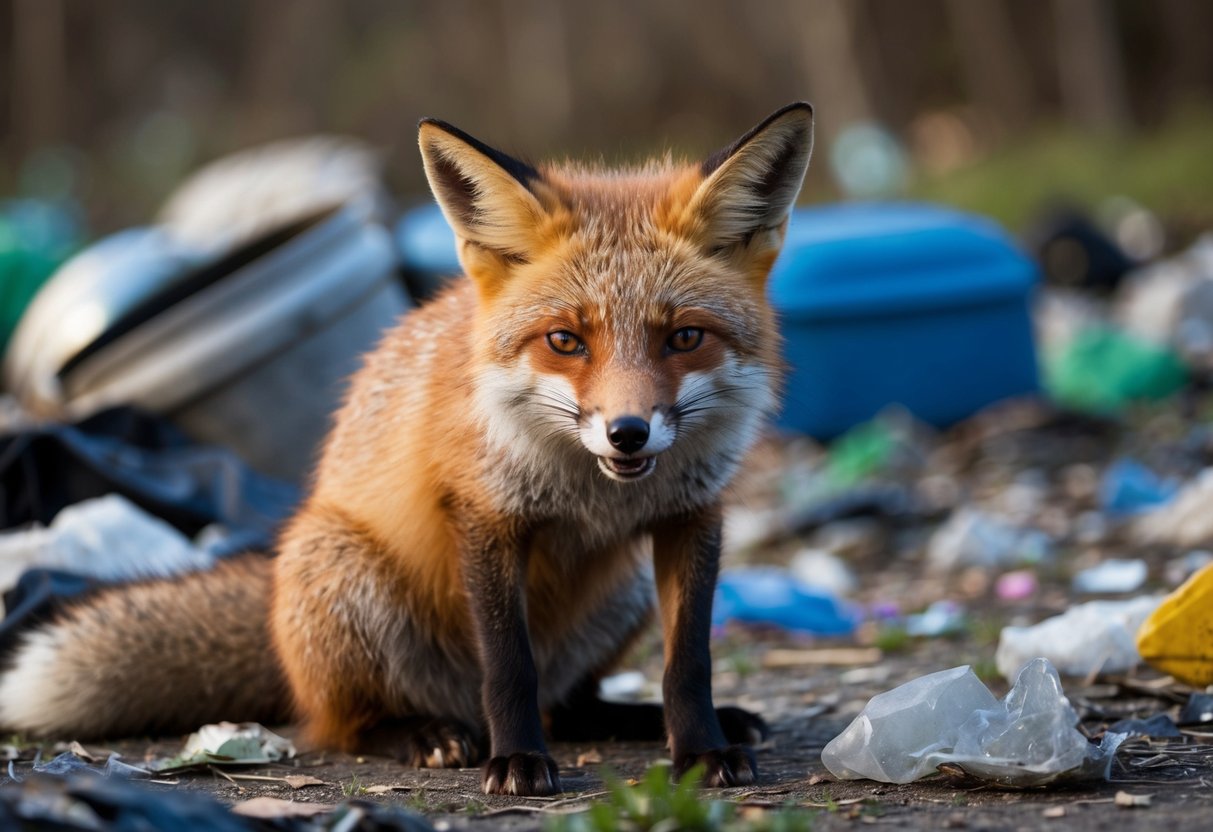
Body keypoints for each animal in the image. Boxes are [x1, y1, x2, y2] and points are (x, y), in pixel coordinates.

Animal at [0, 102, 813, 796]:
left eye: (684, 337)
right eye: (564, 341)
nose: (628, 431)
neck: (595, 494)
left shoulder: (692, 517)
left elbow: (688, 664)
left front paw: (701, 748)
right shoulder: (483, 516)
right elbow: (508, 667)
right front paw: (516, 763)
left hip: (625, 591)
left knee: (570, 706)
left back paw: (635, 720)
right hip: (345, 577)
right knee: (341, 727)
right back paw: (427, 735)